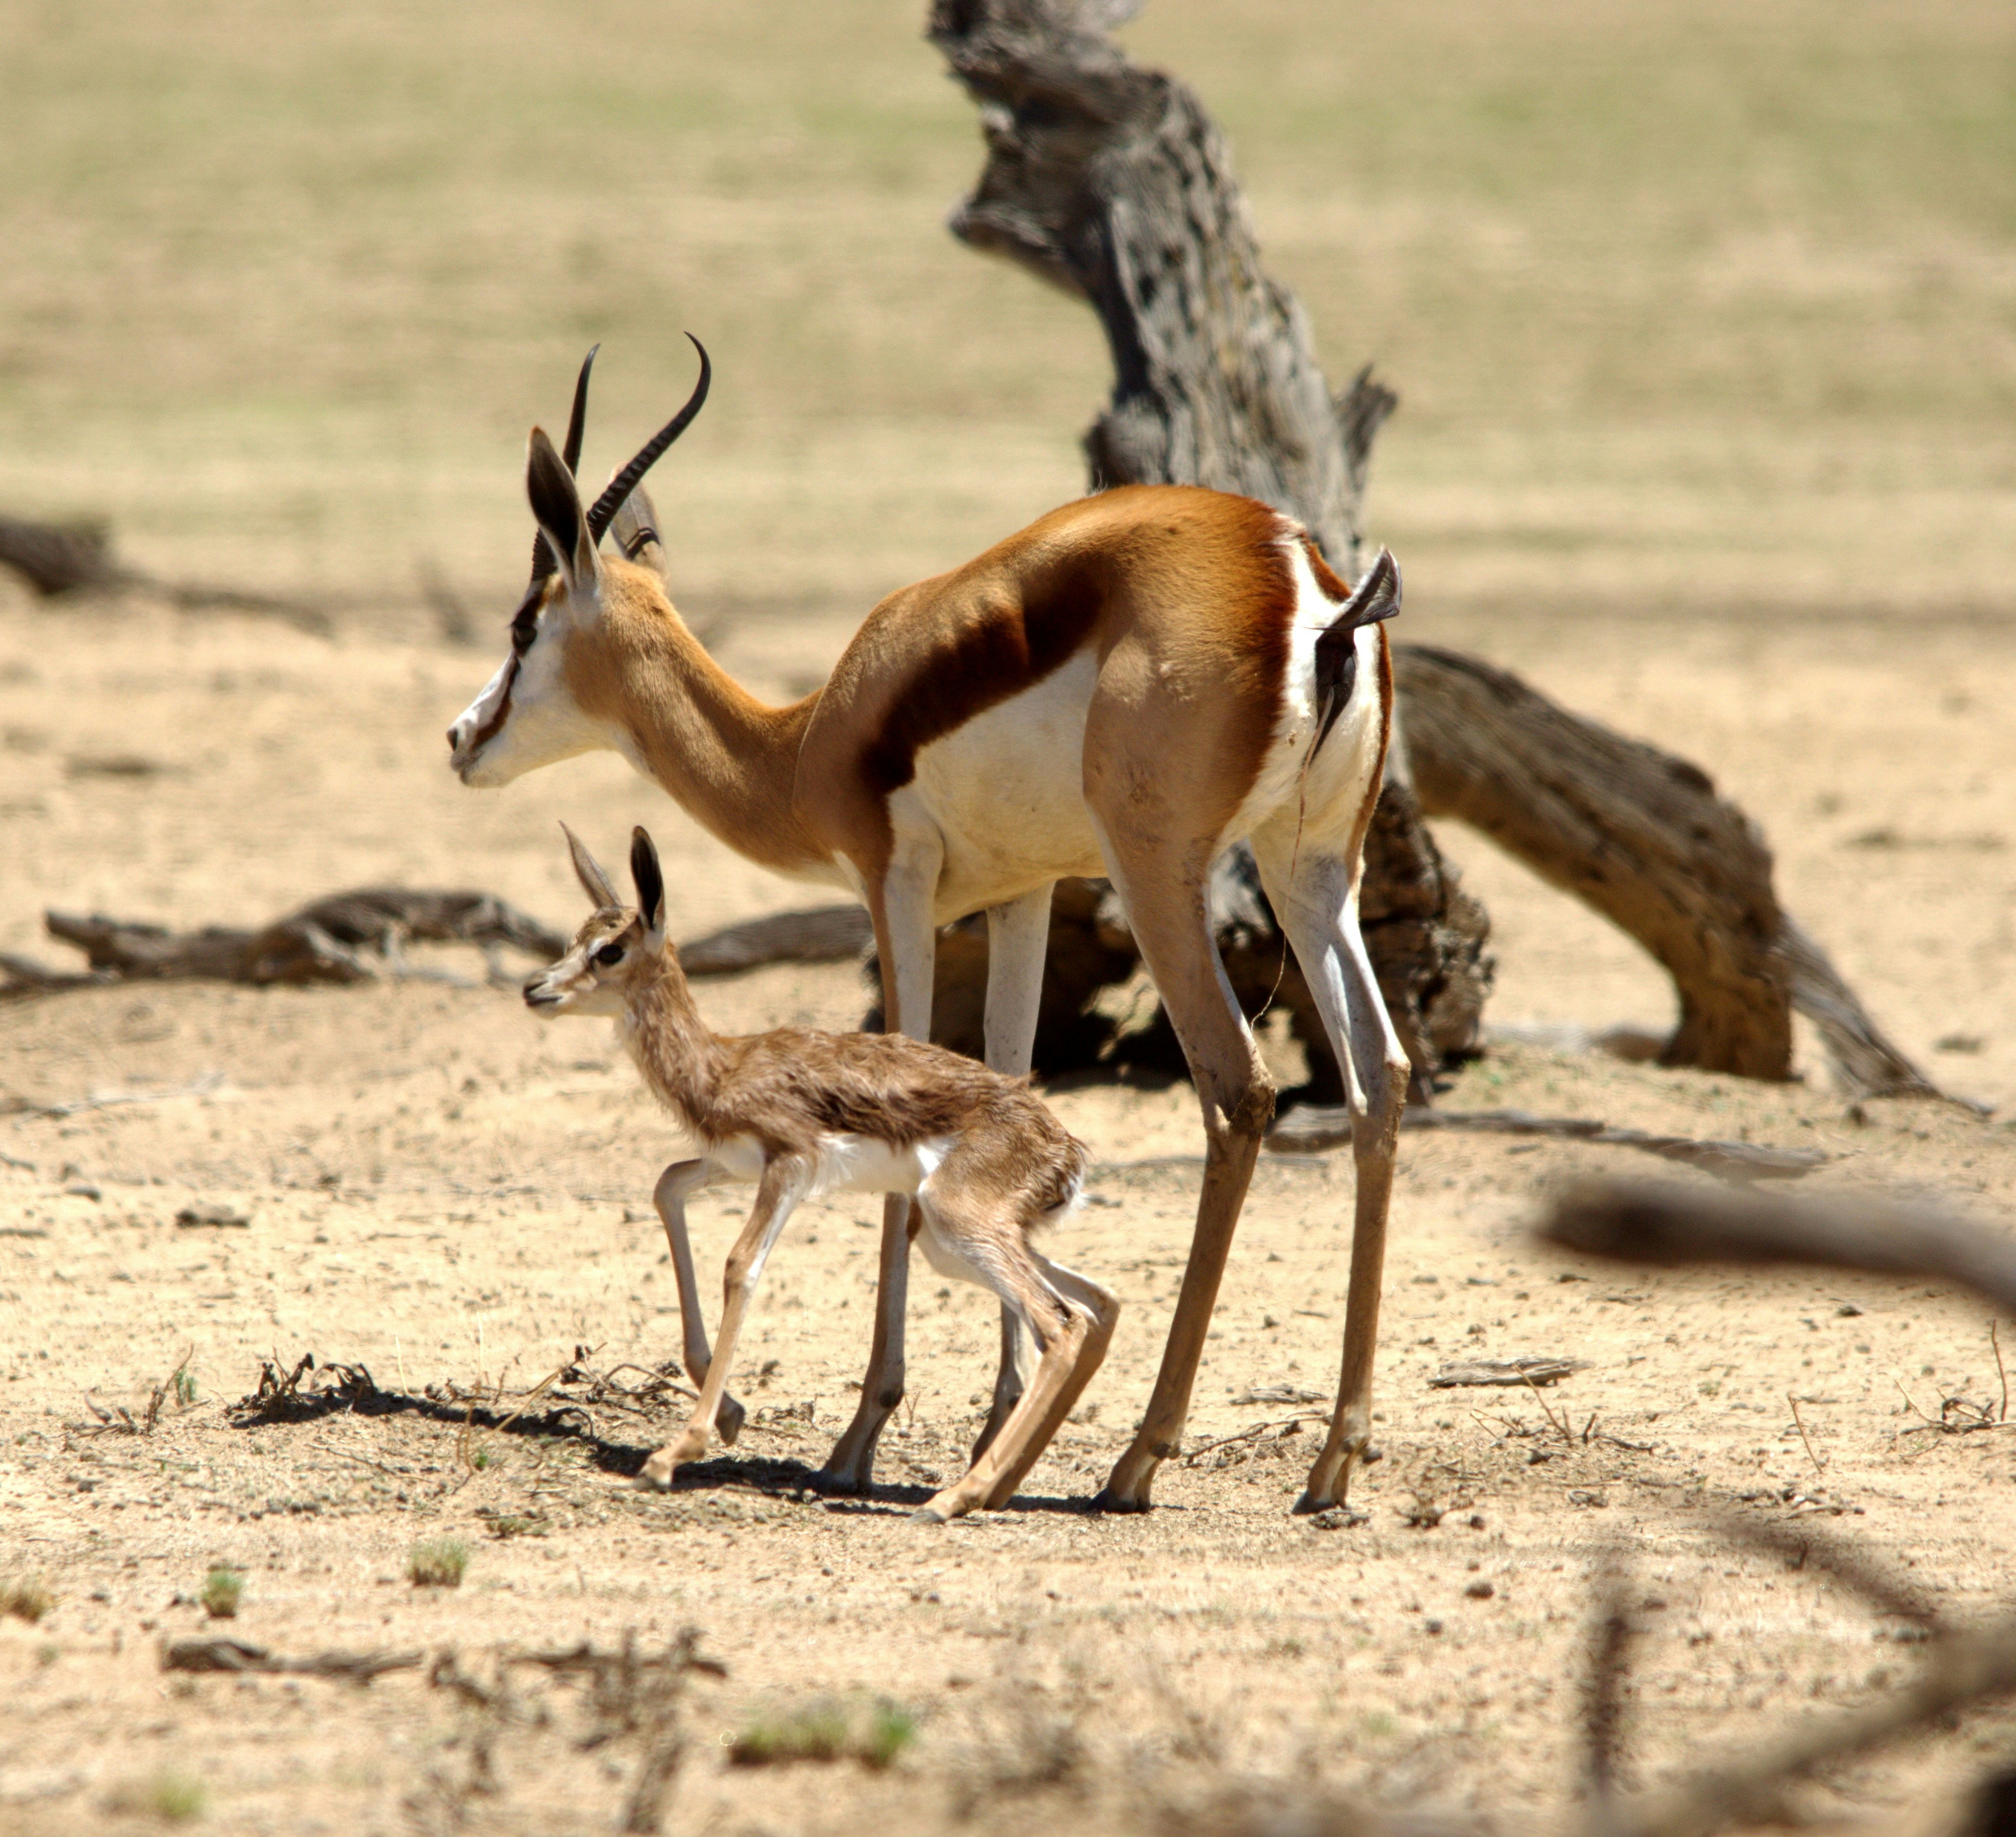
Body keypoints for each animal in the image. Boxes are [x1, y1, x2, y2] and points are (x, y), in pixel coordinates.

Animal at [526, 821, 1119, 1521]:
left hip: (956, 1224)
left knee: (1058, 1324)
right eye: (574, 939)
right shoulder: (729, 1164)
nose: (536, 989)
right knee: (1098, 1304)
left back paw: (952, 1498)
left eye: (610, 951)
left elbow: (740, 1266)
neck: (720, 1067)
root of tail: (1064, 1149)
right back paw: (996, 1487)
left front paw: (674, 1454)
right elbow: (665, 1186)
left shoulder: (790, 1166)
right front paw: (729, 1415)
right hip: (954, 1240)